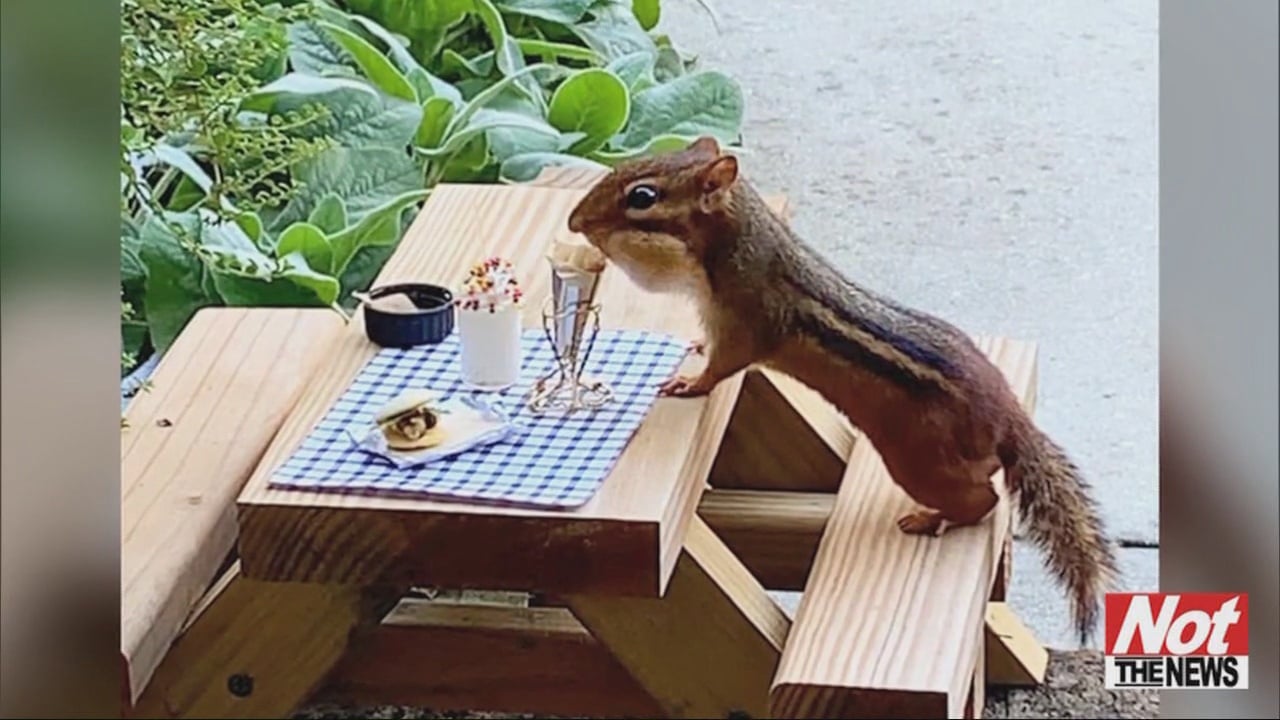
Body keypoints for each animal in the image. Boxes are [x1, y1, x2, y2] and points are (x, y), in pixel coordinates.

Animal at [567, 136, 1119, 645]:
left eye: (642, 196)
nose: (575, 221)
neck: (740, 243)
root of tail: (1008, 417)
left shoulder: (746, 324)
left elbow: (723, 367)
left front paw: (687, 382)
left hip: (919, 464)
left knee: (983, 498)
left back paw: (932, 520)